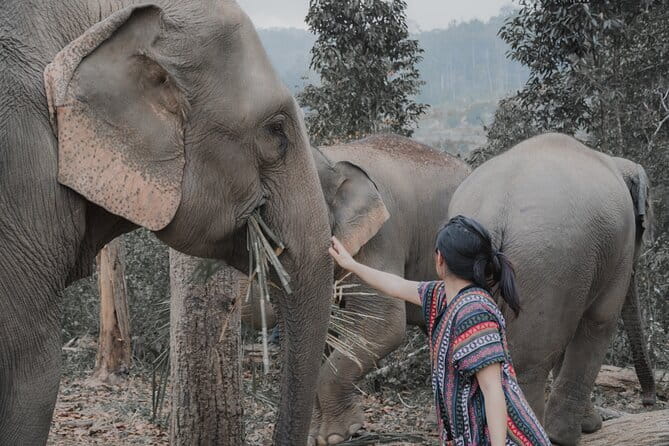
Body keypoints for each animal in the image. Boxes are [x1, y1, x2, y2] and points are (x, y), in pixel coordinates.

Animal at [447, 133, 656, 446]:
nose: (649, 401)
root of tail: (494, 211)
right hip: (546, 261)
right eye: (644, 225)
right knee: (530, 363)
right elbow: (599, 320)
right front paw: (572, 433)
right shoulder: (619, 246)